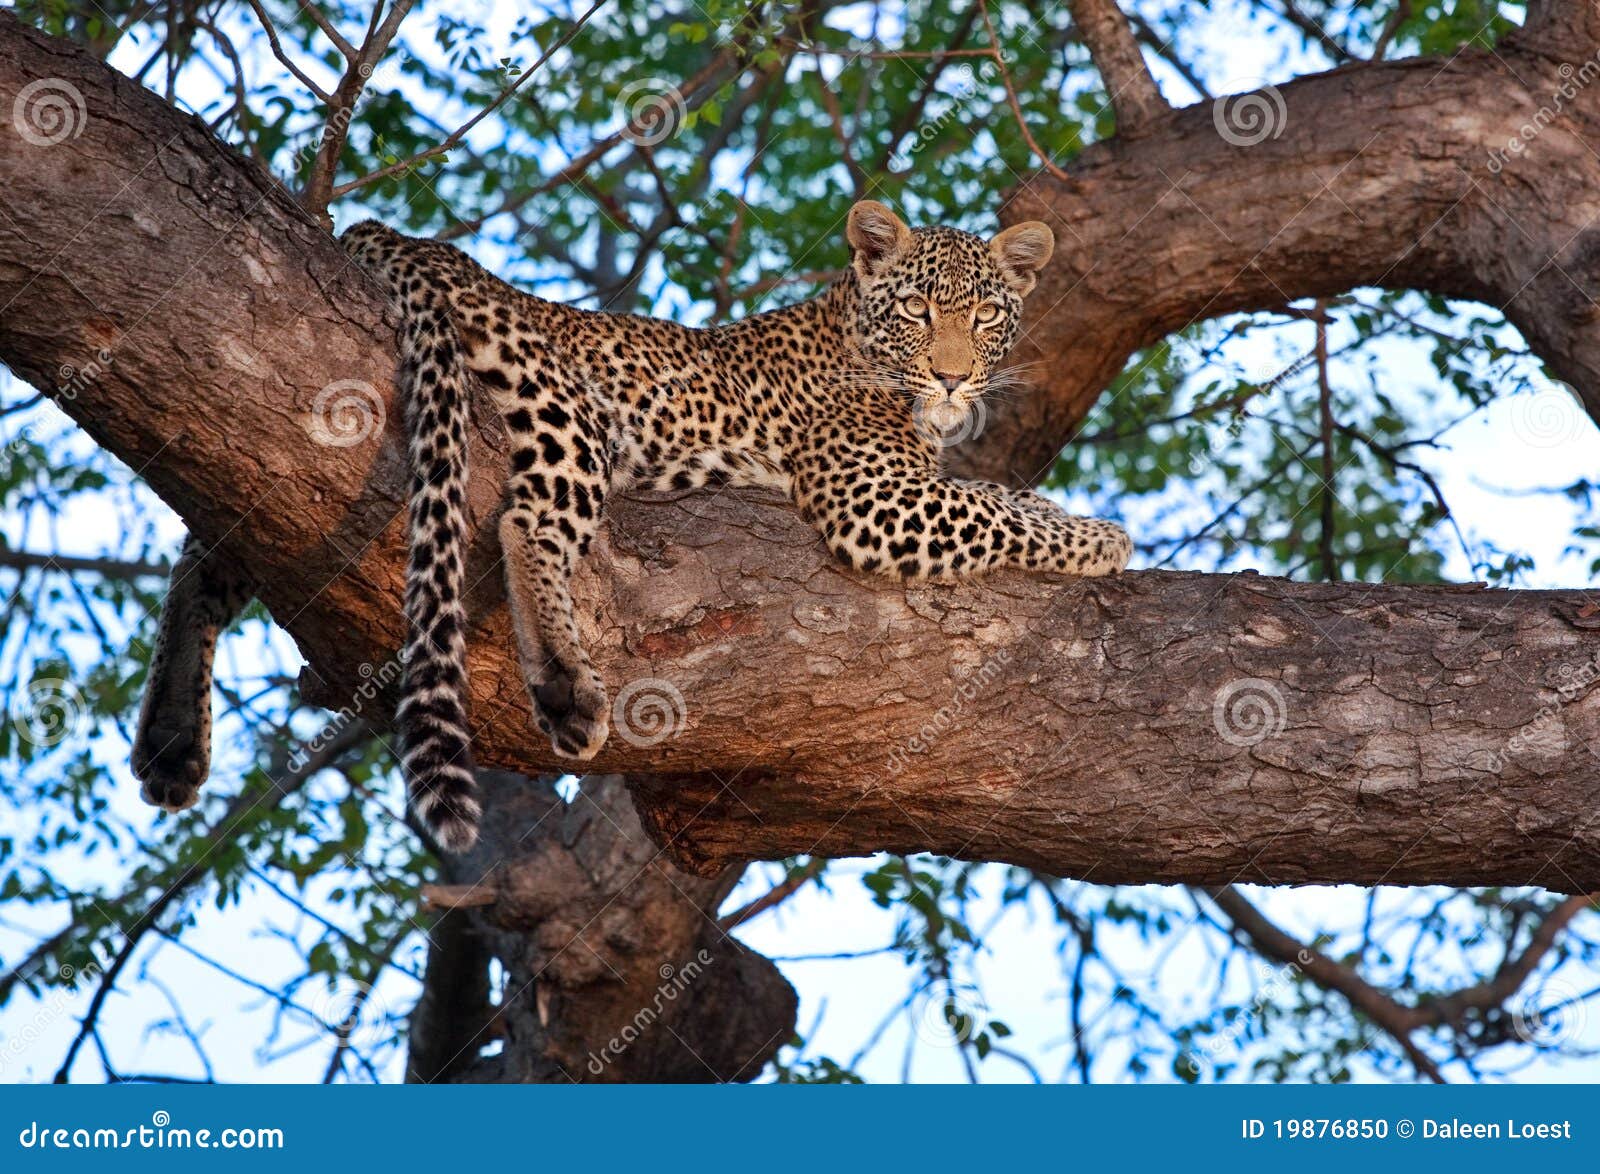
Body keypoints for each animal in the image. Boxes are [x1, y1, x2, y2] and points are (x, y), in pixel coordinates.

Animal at [132, 200, 1132, 852]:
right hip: (565, 409)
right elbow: (987, 507)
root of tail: (400, 235)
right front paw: (1104, 540)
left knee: (208, 550)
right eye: (919, 310)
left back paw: (172, 741)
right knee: (527, 520)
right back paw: (565, 686)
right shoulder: (870, 498)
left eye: (988, 314)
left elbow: (997, 496)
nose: (956, 377)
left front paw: (1063, 511)